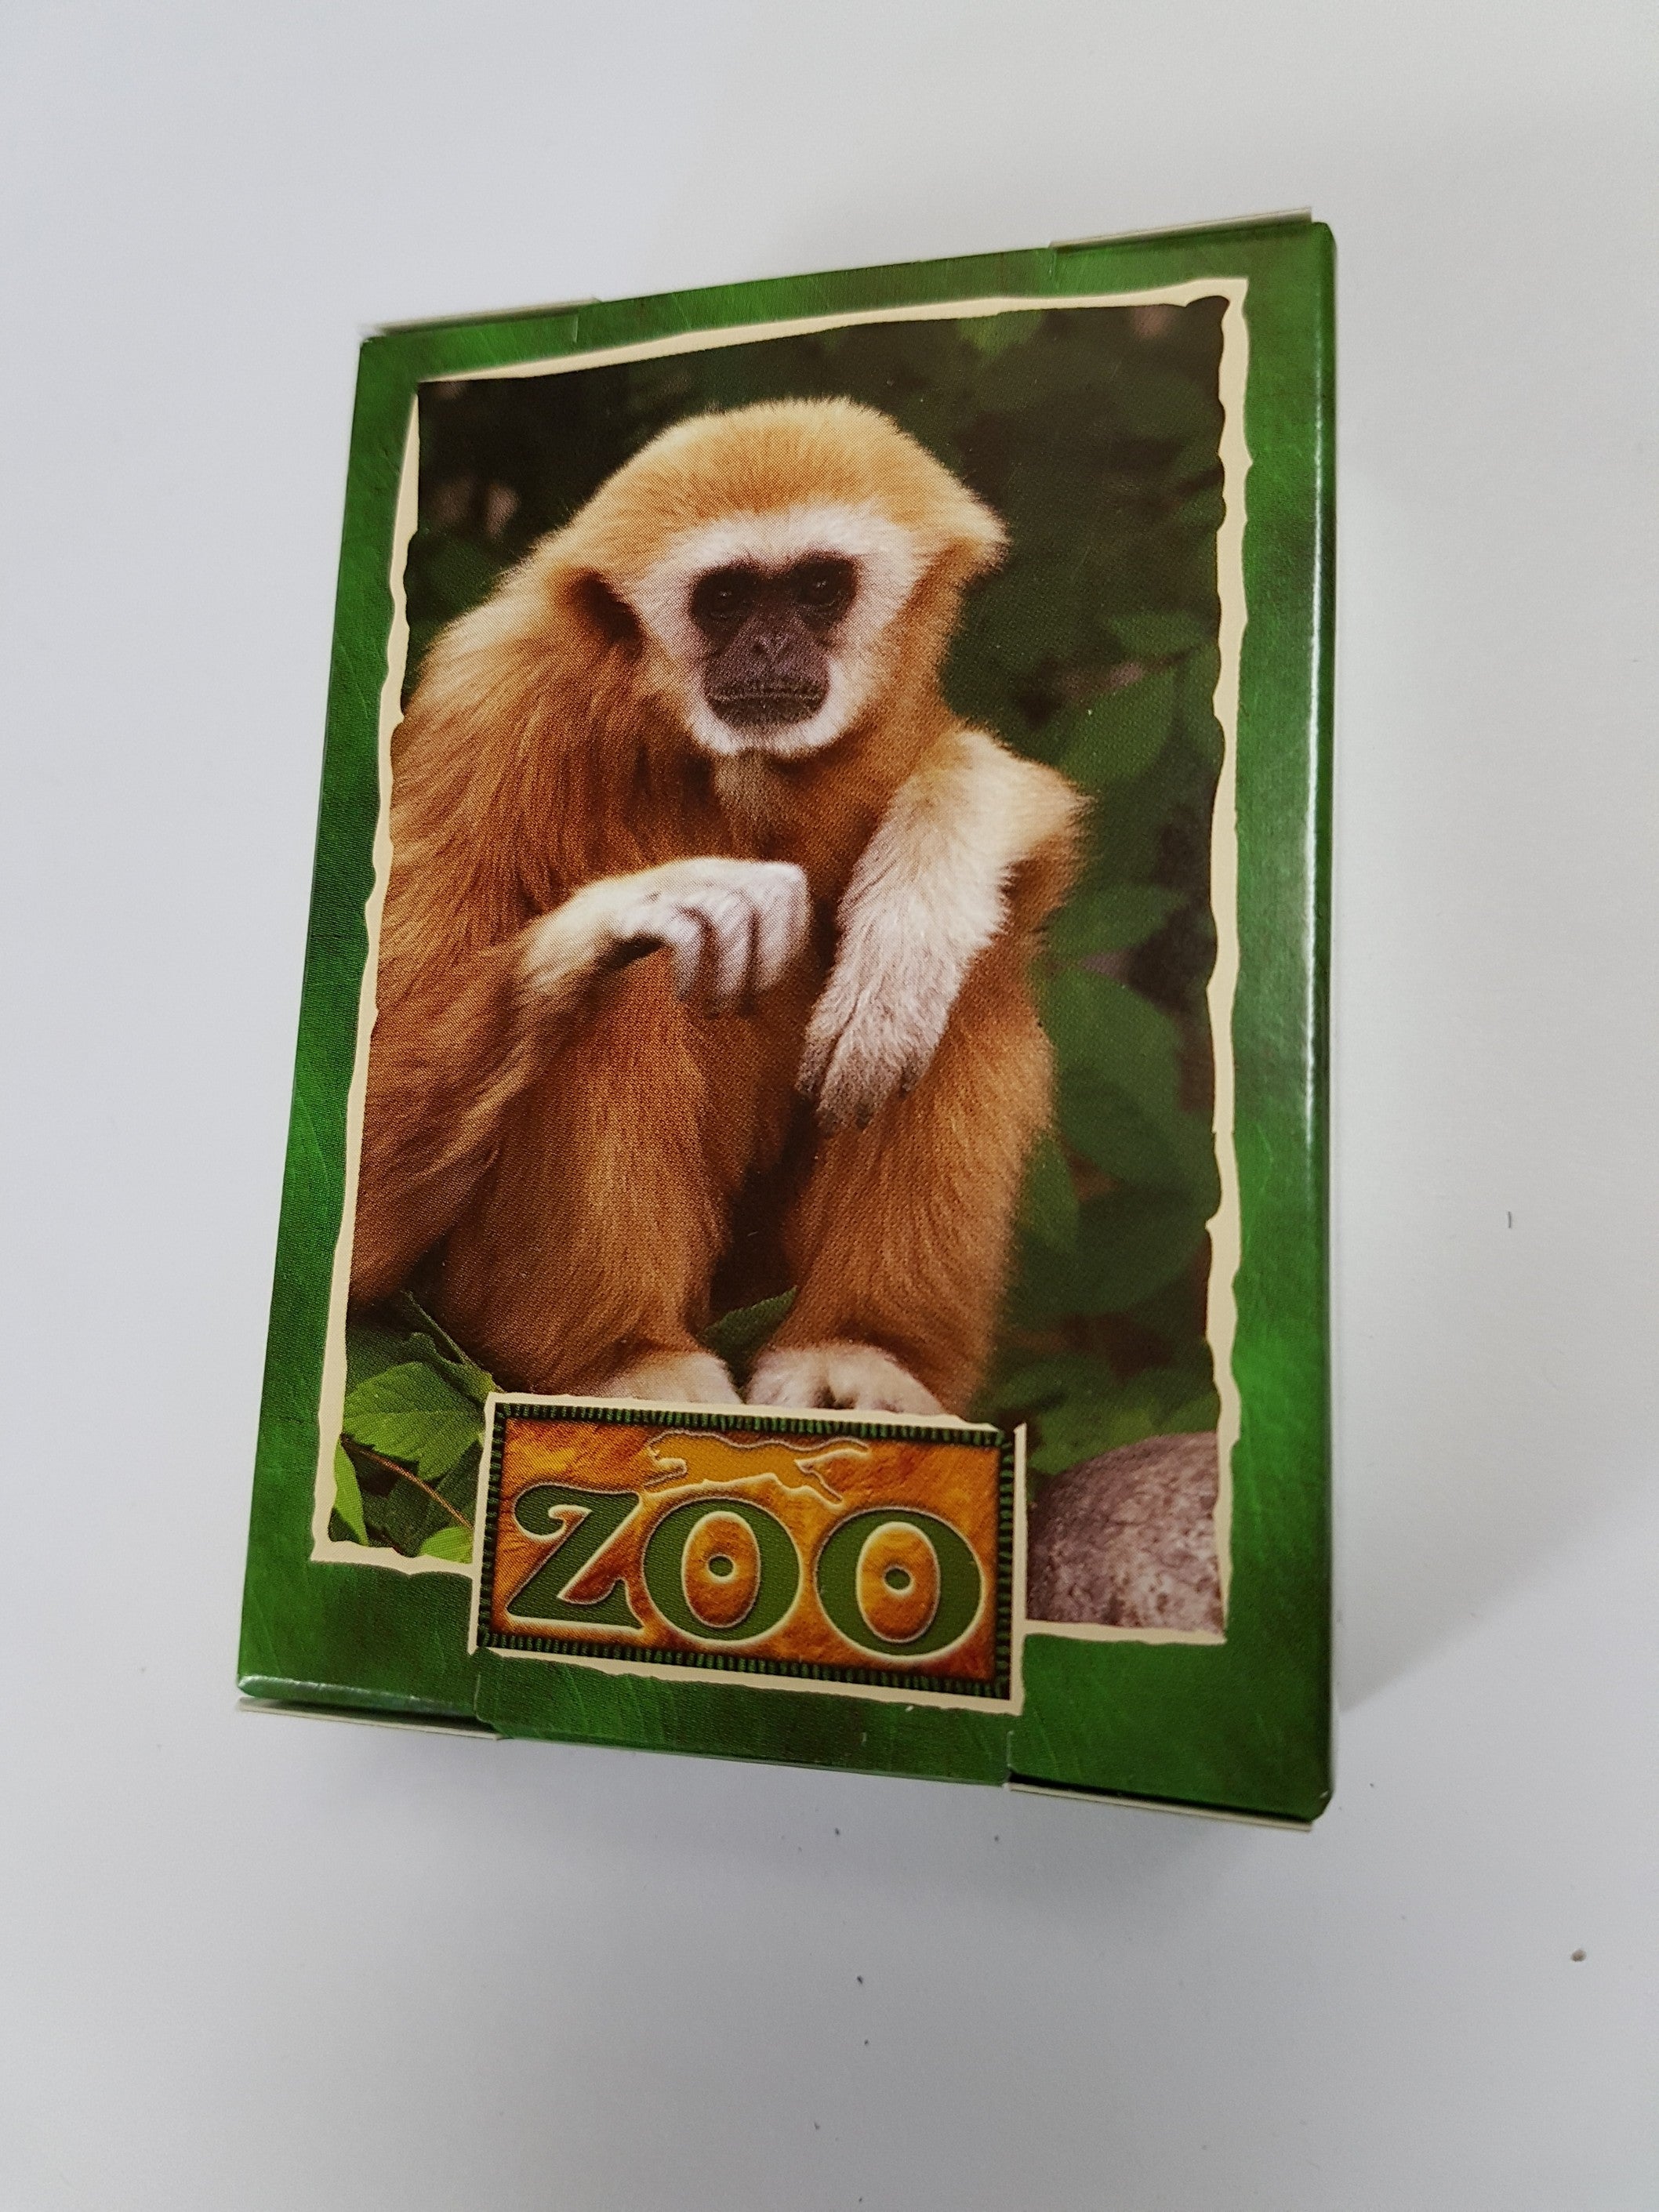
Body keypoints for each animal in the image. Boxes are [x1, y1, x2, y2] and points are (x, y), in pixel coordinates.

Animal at [349, 397, 1082, 1416]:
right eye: (727, 598)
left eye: (818, 587)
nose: (771, 645)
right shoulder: (483, 708)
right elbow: (370, 1195)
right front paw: (643, 901)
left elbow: (999, 805)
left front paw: (922, 890)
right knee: (629, 983)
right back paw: (626, 1359)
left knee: (973, 965)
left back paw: (863, 1348)